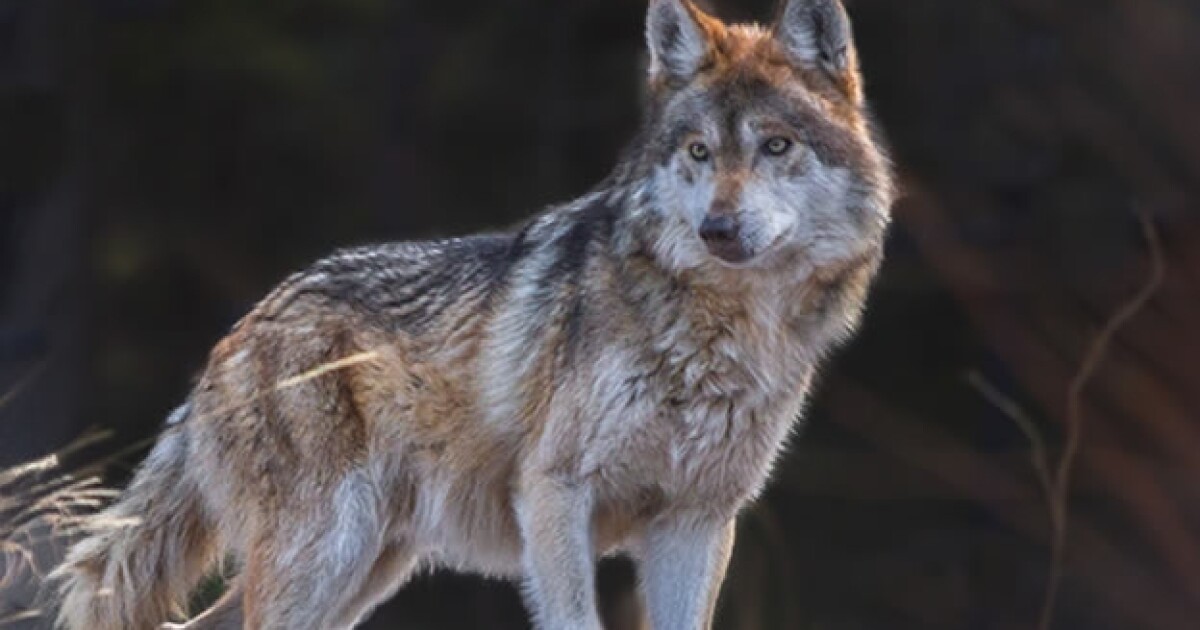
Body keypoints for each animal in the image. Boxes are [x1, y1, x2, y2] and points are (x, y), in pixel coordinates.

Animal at [53, 0, 893, 628]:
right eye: (697, 152)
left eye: (776, 146)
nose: (717, 229)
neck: (721, 332)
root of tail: (237, 332)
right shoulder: (555, 492)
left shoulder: (696, 522)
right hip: (325, 552)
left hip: (367, 567)